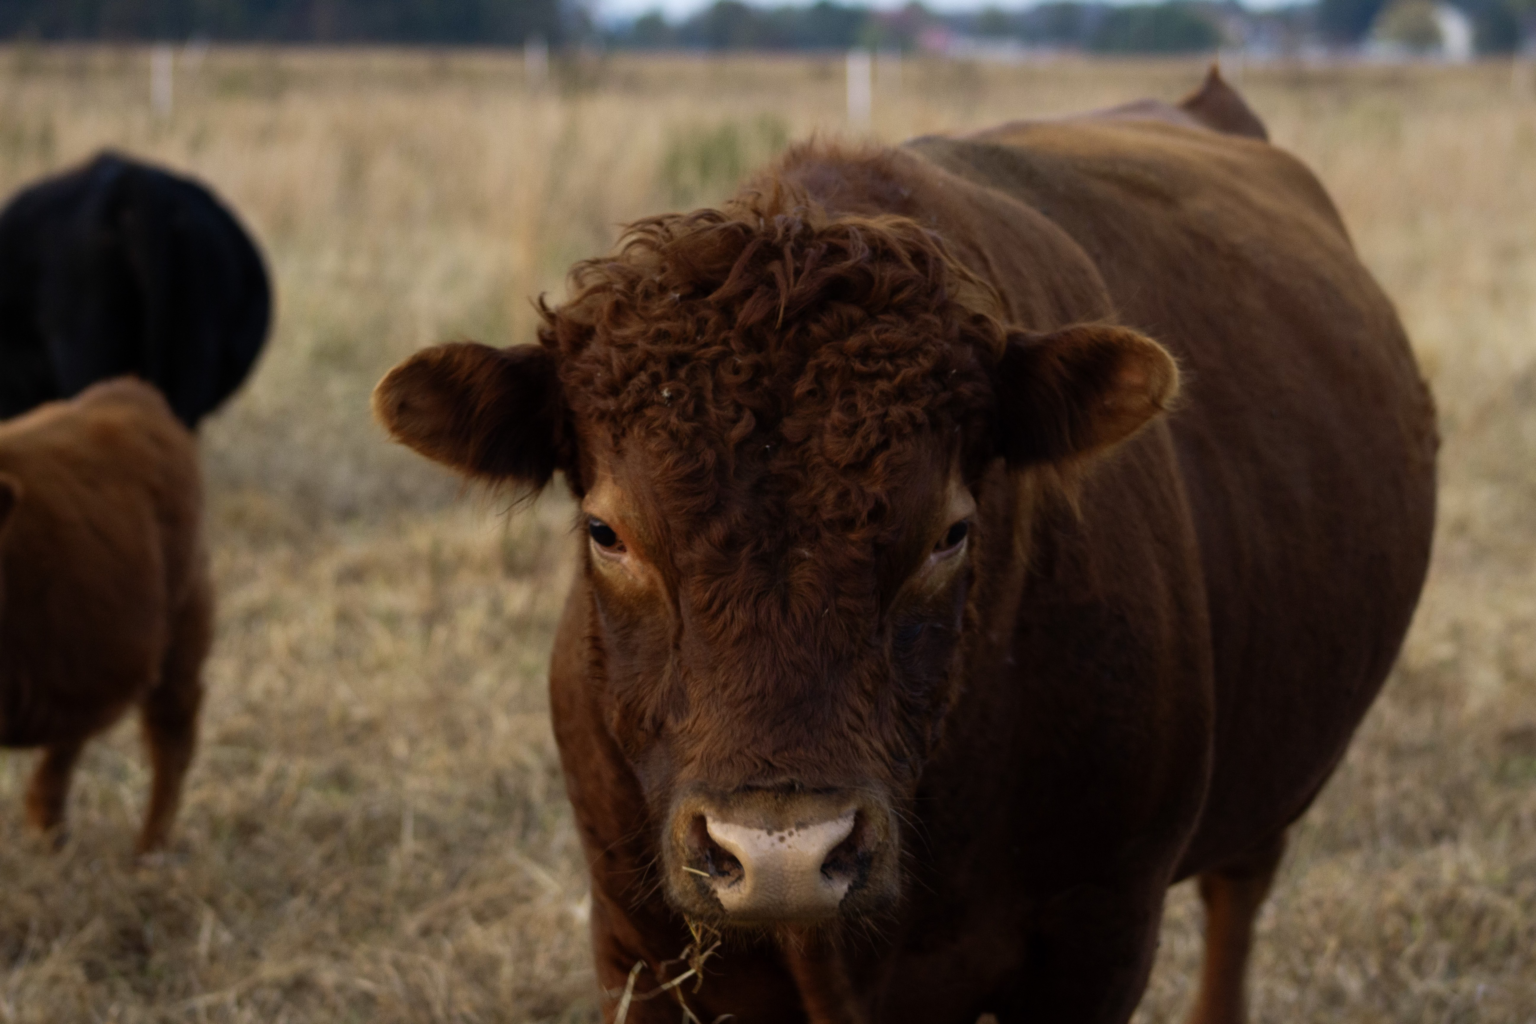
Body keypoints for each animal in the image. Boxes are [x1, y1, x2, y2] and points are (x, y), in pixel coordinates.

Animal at [0, 378, 211, 854]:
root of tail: (126, 390)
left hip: (185, 622)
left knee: (173, 732)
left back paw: (149, 850)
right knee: (70, 736)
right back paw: (48, 827)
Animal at [373, 70, 1436, 1024]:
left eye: (951, 533)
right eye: (607, 531)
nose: (783, 856)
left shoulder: (1099, 938)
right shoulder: (638, 947)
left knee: (1238, 901)